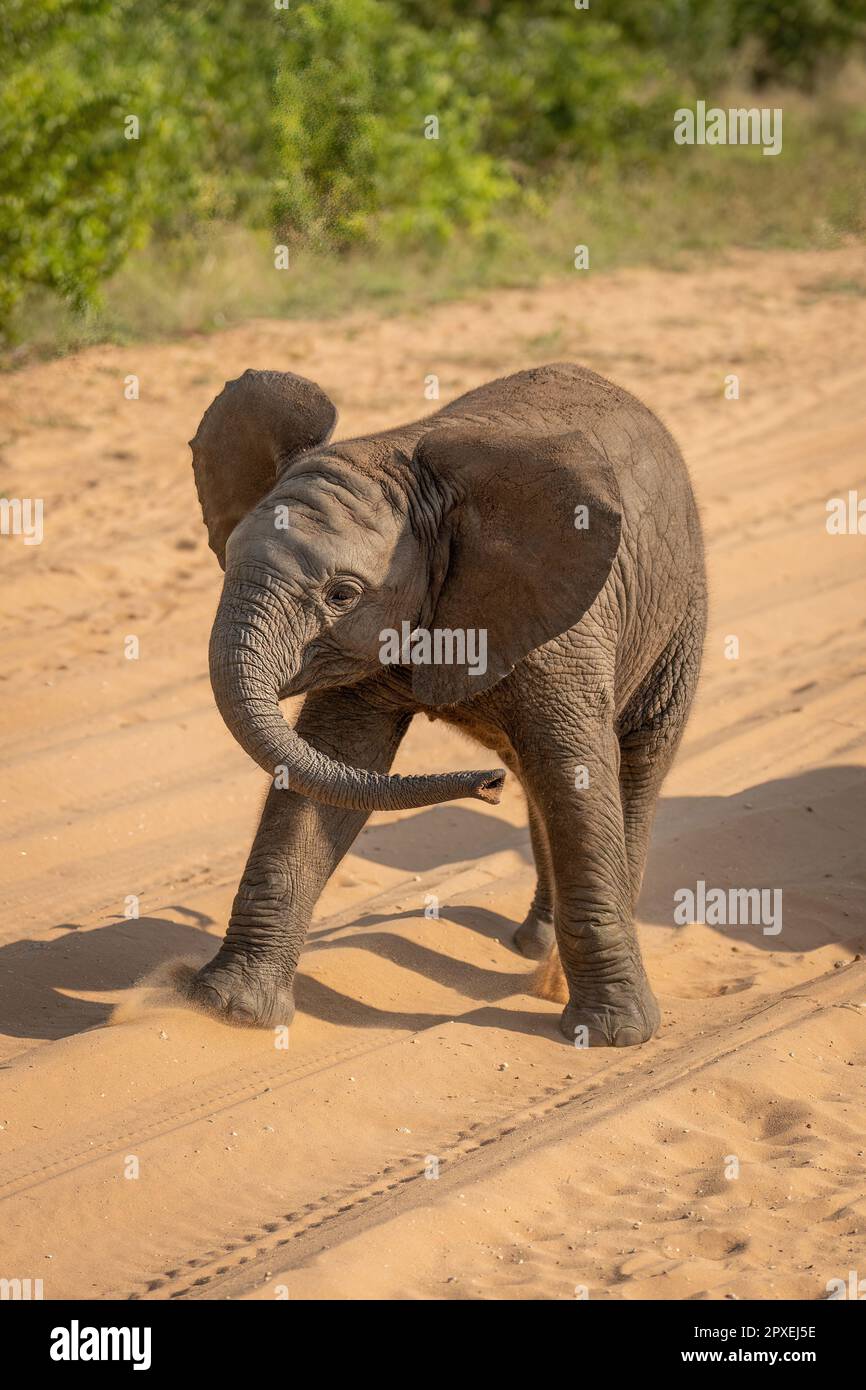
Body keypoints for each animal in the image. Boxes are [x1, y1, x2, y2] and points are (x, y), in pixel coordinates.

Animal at [186, 362, 707, 1046]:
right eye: (227, 561)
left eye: (342, 593)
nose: (485, 786)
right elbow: (331, 765)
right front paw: (226, 1010)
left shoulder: (566, 623)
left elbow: (577, 768)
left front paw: (612, 1036)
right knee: (536, 779)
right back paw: (531, 945)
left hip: (680, 608)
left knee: (637, 764)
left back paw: (553, 968)